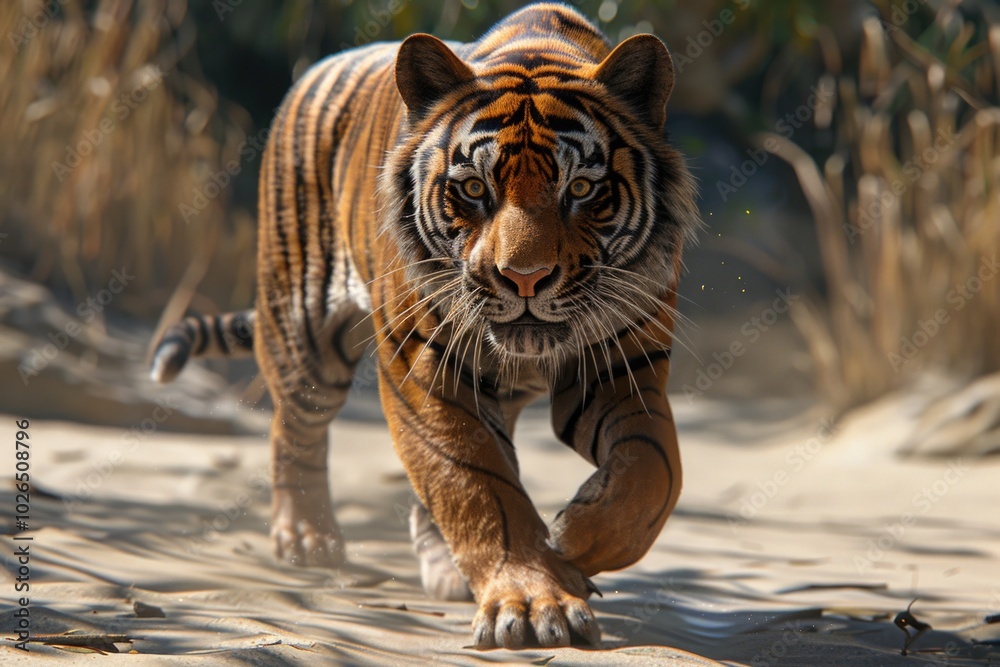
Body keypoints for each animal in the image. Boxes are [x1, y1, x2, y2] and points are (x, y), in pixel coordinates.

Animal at [151, 3, 699, 649]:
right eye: (474, 189)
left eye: (582, 189)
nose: (525, 279)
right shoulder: (425, 371)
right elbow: (476, 485)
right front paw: (533, 600)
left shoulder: (623, 368)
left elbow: (654, 470)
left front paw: (576, 541)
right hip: (305, 332)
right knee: (295, 428)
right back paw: (307, 539)